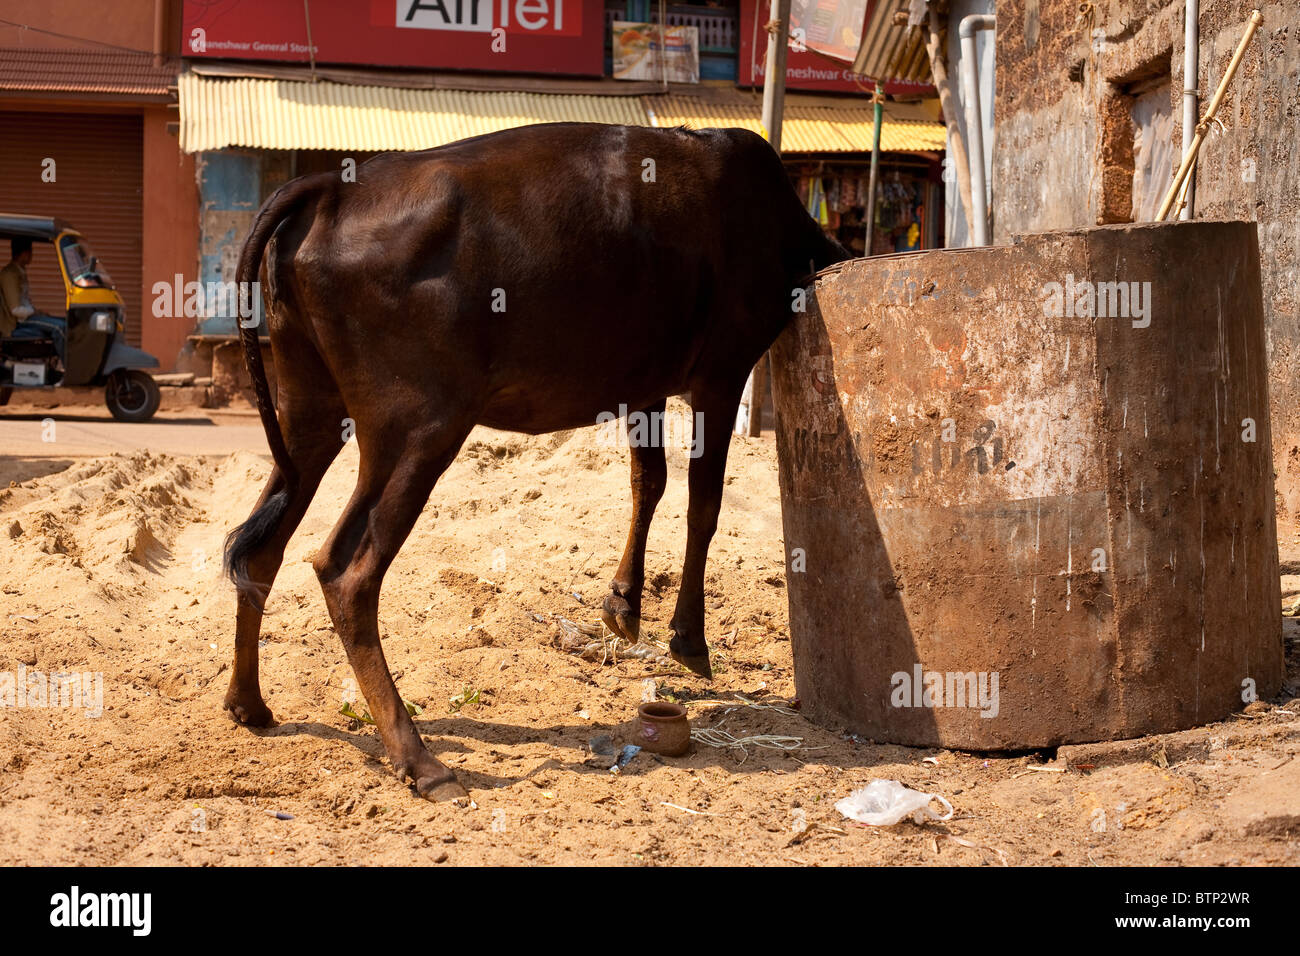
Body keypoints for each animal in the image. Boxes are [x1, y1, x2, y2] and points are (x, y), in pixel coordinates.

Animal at [223, 122, 849, 801]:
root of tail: (327, 188)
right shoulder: (723, 369)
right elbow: (702, 503)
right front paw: (688, 637)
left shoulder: (645, 382)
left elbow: (648, 482)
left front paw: (623, 606)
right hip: (418, 429)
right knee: (346, 572)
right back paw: (418, 759)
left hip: (308, 412)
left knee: (261, 547)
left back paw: (248, 703)